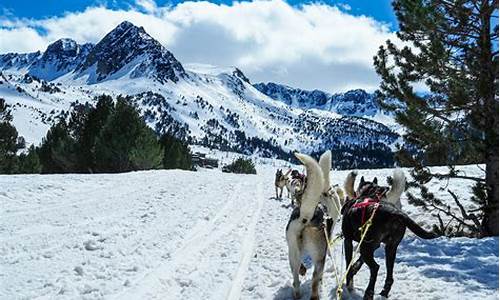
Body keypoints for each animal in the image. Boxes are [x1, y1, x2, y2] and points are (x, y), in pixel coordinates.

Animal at [286, 152, 344, 300]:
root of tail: (306, 218)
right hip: (319, 257)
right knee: (314, 279)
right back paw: (316, 293)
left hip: (293, 252)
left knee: (295, 278)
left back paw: (297, 292)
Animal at [342, 171, 436, 300]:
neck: (369, 193)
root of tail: (394, 213)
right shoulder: (373, 245)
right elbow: (358, 261)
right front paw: (356, 267)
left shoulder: (348, 241)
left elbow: (348, 264)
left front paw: (349, 283)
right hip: (390, 248)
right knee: (390, 275)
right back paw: (384, 292)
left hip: (367, 247)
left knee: (375, 268)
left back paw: (369, 293)